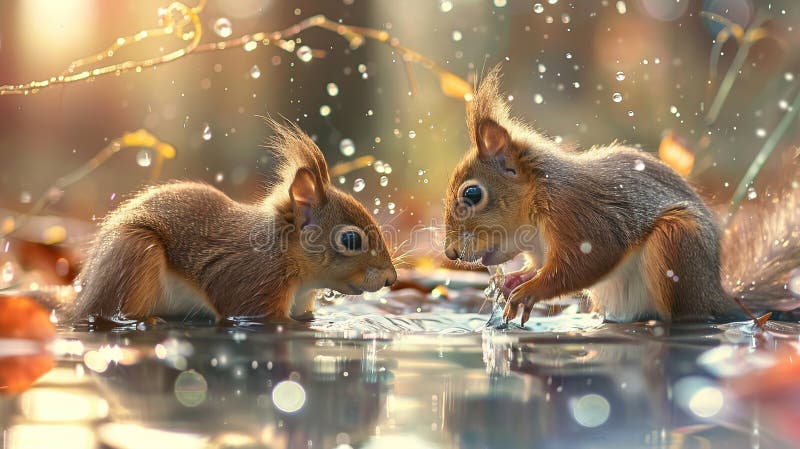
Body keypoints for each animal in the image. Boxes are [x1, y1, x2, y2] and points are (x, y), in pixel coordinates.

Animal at [444, 66, 799, 325]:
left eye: (472, 193)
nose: (450, 253)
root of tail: (716, 294)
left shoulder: (578, 213)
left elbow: (588, 261)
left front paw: (529, 291)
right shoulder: (541, 248)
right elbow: (538, 266)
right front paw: (511, 282)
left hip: (677, 241)